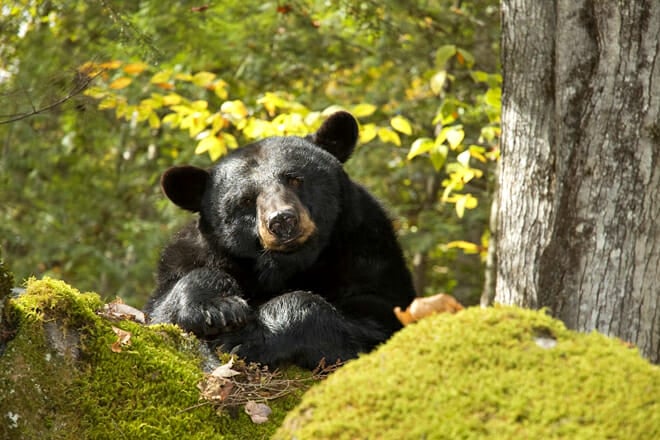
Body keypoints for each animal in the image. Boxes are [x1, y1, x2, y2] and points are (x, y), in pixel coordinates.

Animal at [145, 111, 416, 369]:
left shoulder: (367, 254)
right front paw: (218, 308)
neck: (286, 265)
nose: (282, 221)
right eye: (246, 200)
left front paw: (248, 337)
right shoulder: (192, 254)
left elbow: (377, 318)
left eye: (295, 179)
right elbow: (162, 308)